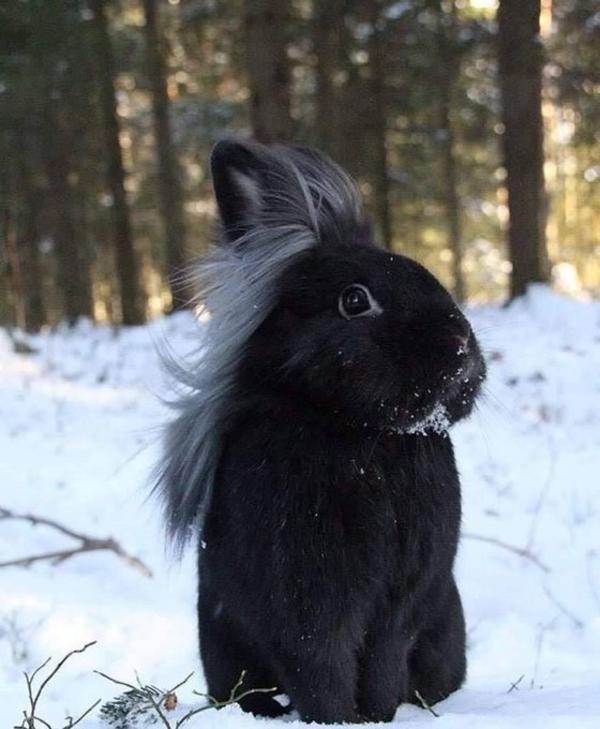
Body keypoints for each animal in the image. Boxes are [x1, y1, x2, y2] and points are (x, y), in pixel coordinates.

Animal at [156, 139, 486, 724]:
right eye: (355, 300)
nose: (460, 347)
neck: (363, 435)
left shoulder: (399, 604)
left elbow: (381, 659)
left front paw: (377, 717)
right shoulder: (306, 597)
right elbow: (320, 663)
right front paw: (336, 719)